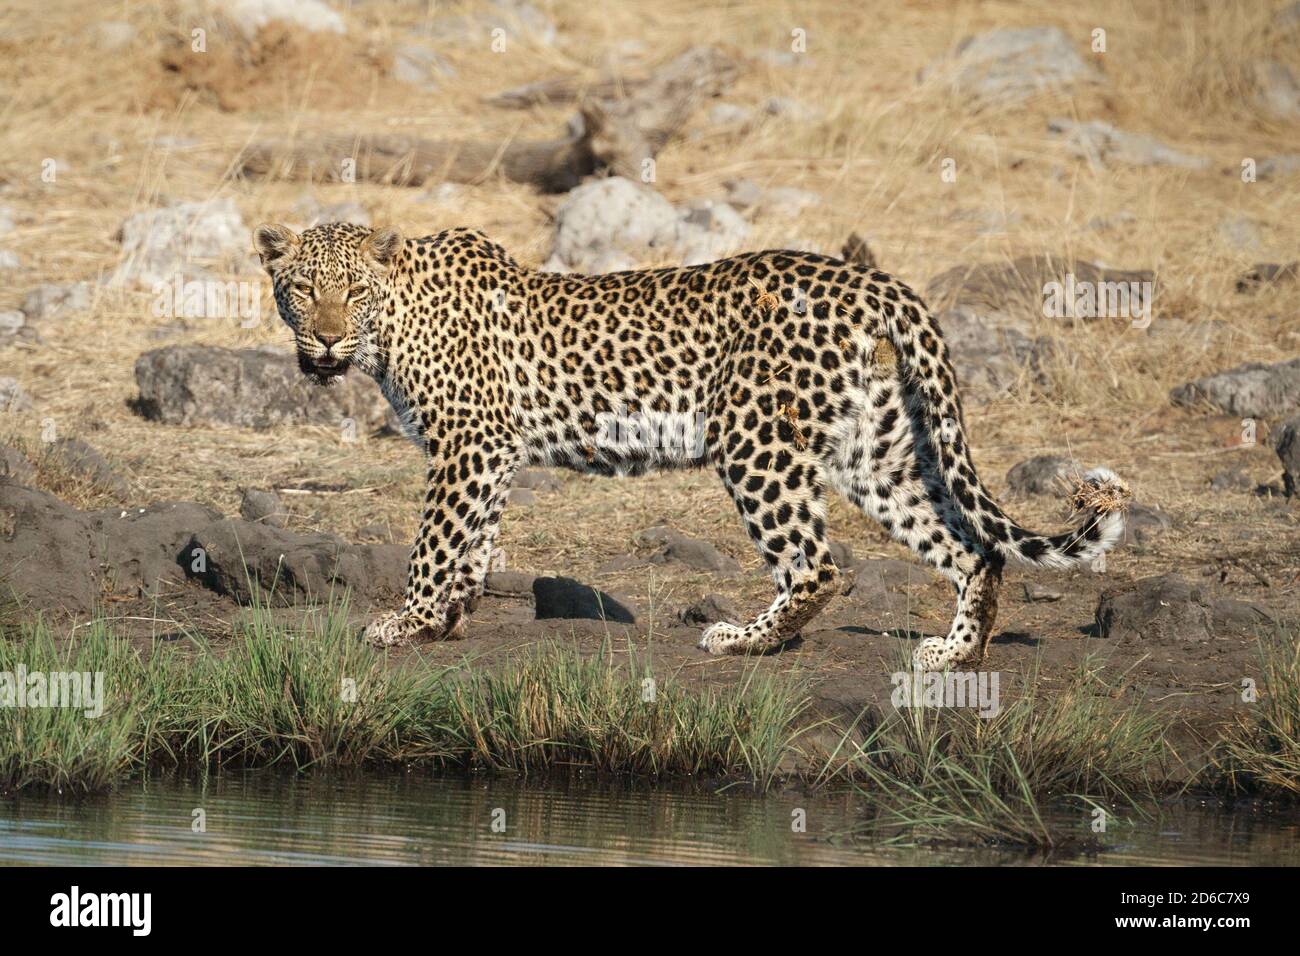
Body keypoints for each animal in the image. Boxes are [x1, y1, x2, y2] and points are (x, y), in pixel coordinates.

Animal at [252, 220, 1128, 671]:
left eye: (352, 292)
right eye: (301, 289)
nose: (323, 339)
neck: (392, 323)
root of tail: (871, 280)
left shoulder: (467, 444)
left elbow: (433, 543)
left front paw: (405, 622)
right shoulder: (489, 453)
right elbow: (474, 542)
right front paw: (448, 620)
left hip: (755, 438)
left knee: (817, 565)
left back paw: (745, 638)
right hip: (873, 448)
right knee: (970, 546)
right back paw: (953, 655)